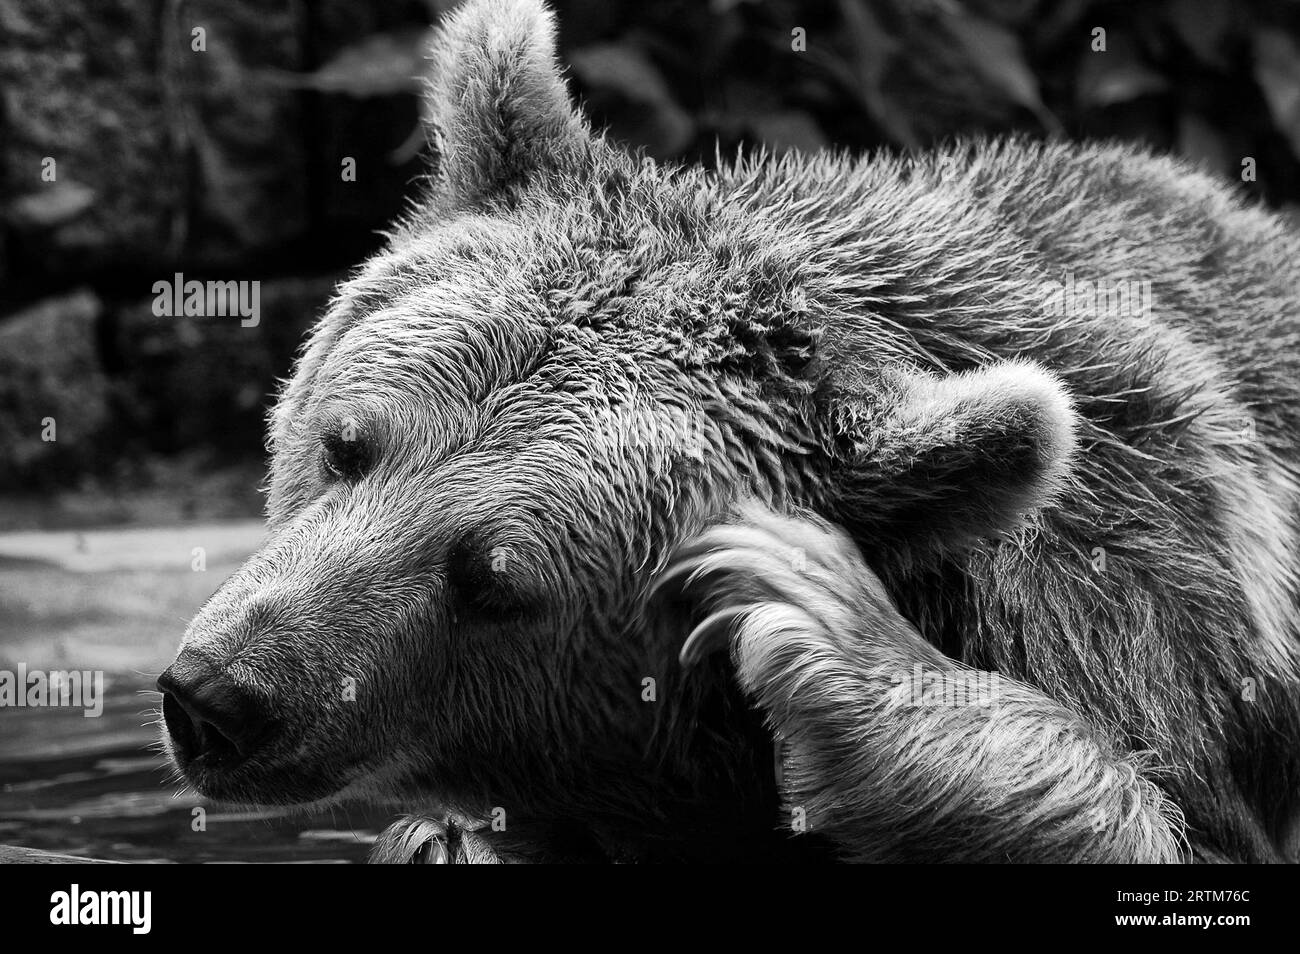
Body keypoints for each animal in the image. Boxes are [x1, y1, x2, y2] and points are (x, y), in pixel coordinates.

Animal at [157, 0, 1300, 863]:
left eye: (494, 578)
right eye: (346, 445)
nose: (221, 693)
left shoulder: (1147, 623)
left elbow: (1164, 823)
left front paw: (823, 615)